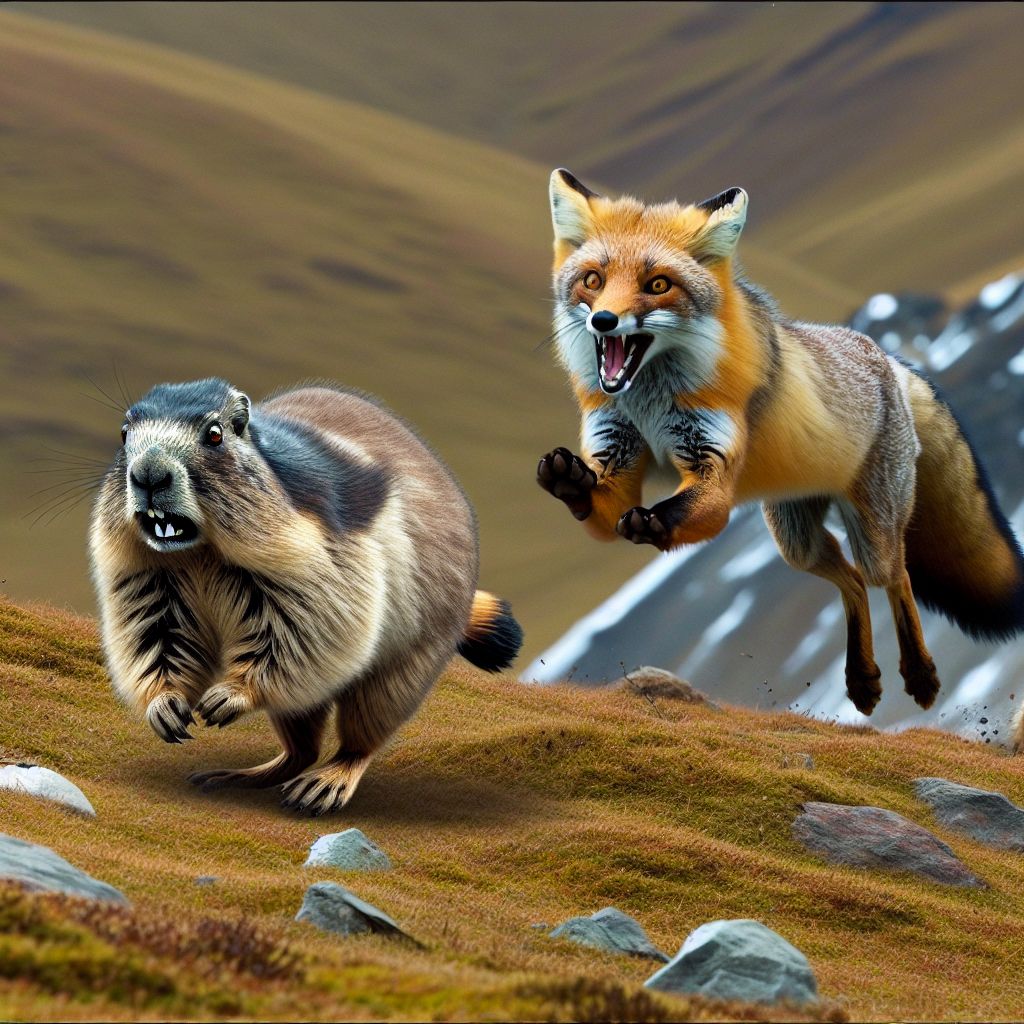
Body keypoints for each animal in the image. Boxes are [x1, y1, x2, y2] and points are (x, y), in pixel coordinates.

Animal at [537, 168, 1024, 727]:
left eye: (657, 285)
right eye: (593, 281)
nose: (604, 321)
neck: (649, 405)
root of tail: (888, 361)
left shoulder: (711, 461)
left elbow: (688, 507)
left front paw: (654, 522)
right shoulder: (615, 448)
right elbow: (600, 498)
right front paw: (569, 478)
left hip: (873, 532)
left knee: (894, 576)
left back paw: (920, 677)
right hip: (796, 541)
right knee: (851, 581)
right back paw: (862, 682)